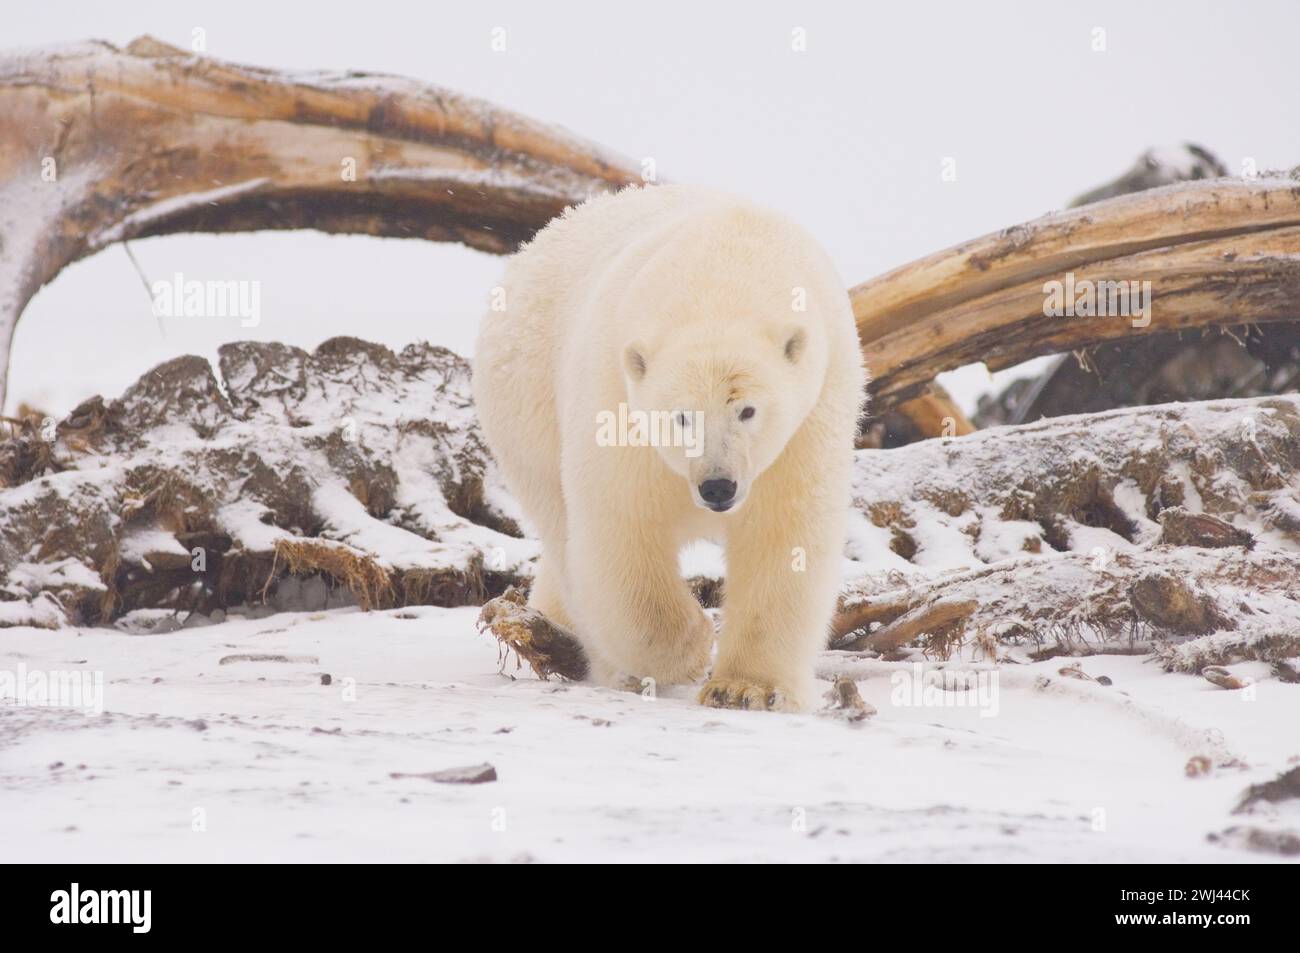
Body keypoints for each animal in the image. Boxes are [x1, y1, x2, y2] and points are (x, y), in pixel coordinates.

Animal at [473, 184, 866, 711]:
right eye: (681, 416)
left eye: (748, 411)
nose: (718, 487)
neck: (726, 265)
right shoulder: (617, 395)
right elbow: (620, 526)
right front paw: (689, 646)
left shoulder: (811, 416)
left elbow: (784, 533)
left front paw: (746, 688)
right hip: (526, 406)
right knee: (560, 524)